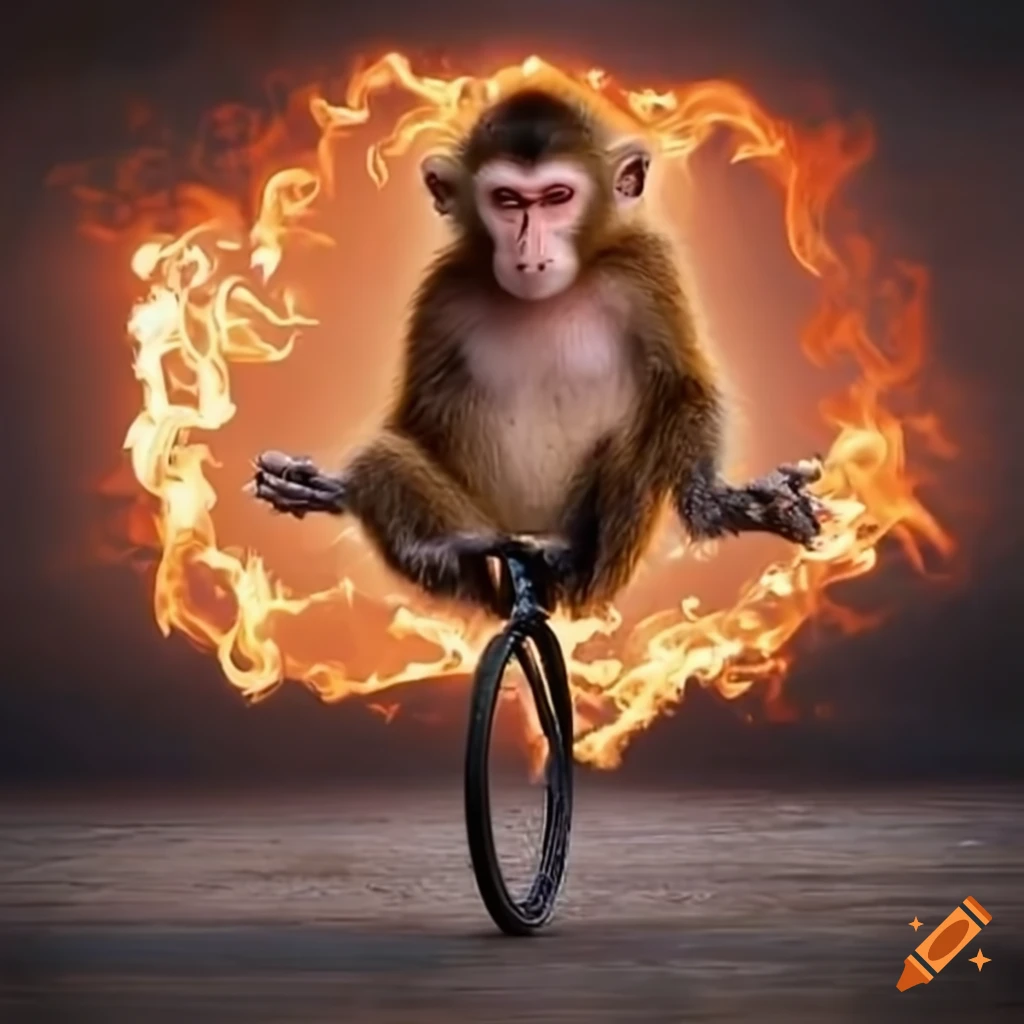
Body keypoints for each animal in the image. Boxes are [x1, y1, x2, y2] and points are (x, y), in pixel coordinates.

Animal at [249, 87, 824, 617]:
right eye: (508, 200)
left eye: (556, 196)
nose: (530, 254)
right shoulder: (443, 292)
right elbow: (411, 424)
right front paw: (330, 490)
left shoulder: (646, 267)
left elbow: (684, 388)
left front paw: (717, 504)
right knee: (385, 460)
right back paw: (452, 550)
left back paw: (567, 560)